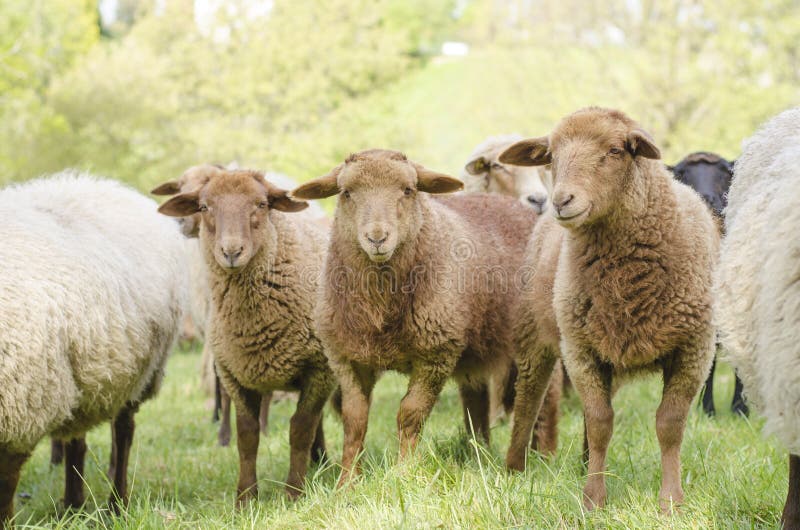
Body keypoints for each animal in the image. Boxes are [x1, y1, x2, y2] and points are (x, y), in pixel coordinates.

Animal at [0, 172, 186, 524]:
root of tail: (107, 185)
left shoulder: (20, 411)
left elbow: (5, 485)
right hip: (83, 370)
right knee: (77, 438)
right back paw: (73, 506)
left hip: (139, 373)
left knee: (123, 433)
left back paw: (116, 505)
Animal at [156, 167, 334, 504]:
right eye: (204, 207)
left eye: (261, 205)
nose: (231, 251)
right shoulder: (235, 372)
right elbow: (247, 435)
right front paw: (245, 498)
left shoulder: (319, 369)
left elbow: (300, 428)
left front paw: (293, 493)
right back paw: (320, 462)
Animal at [291, 149, 540, 487]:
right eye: (347, 193)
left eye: (408, 190)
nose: (377, 238)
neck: (381, 309)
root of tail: (512, 204)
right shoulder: (347, 358)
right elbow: (354, 419)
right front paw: (347, 483)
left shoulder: (436, 355)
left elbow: (409, 415)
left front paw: (404, 473)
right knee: (476, 401)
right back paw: (480, 454)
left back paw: (542, 454)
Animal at [500, 107, 718, 512]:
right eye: (551, 155)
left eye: (616, 150)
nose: (561, 200)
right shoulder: (579, 349)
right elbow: (601, 422)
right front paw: (593, 500)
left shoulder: (694, 348)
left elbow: (669, 424)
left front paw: (670, 502)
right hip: (535, 333)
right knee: (528, 401)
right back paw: (514, 470)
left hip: (610, 352)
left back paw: (584, 462)